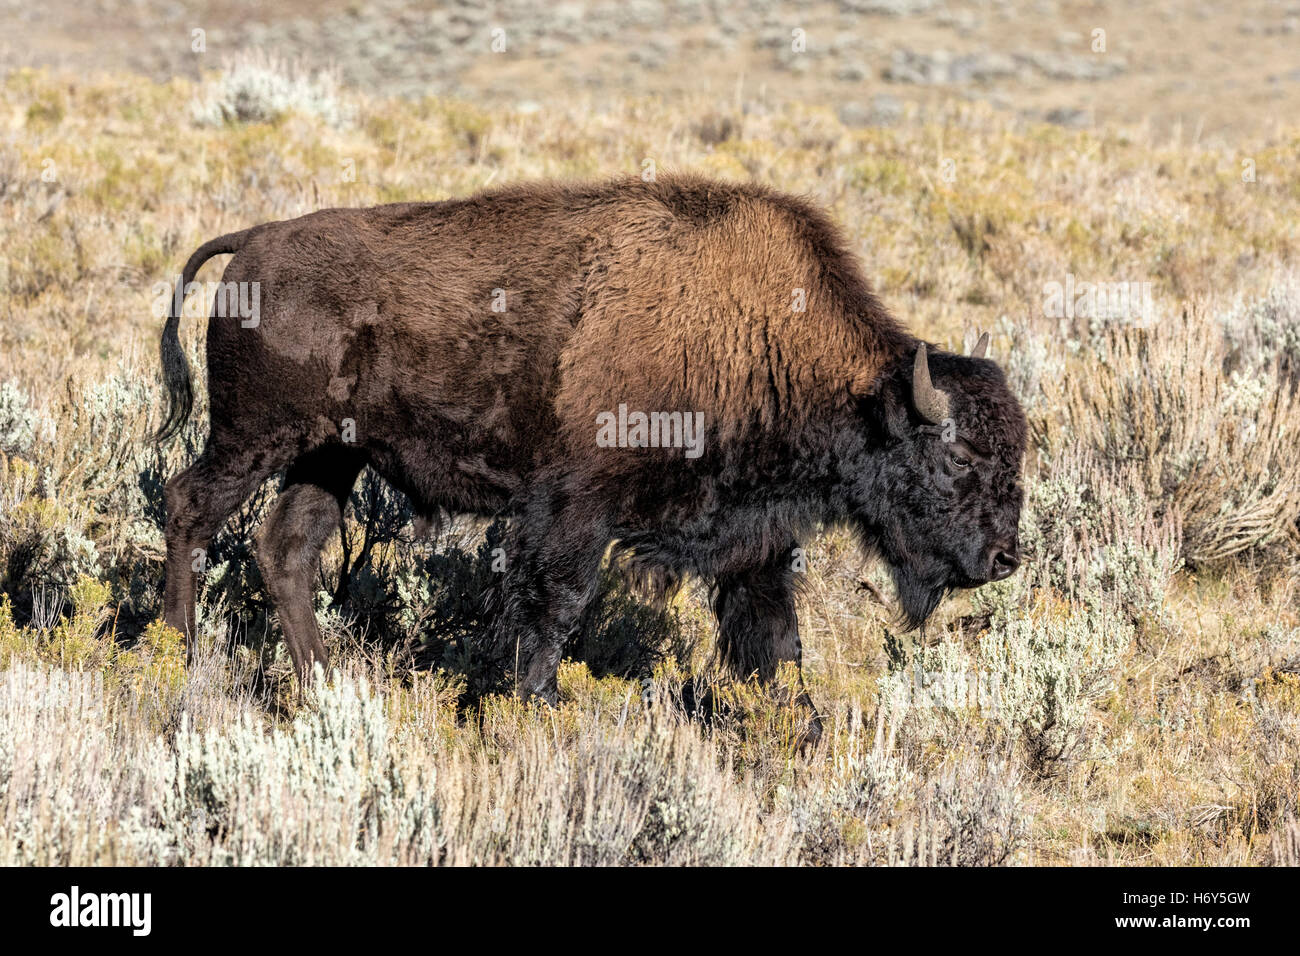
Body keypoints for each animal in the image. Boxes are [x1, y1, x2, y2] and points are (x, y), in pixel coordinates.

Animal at [156, 174, 1026, 741]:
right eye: (957, 458)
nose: (1004, 557)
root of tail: (253, 243)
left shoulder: (754, 537)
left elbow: (773, 632)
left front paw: (800, 726)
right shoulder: (573, 509)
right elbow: (556, 605)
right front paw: (534, 705)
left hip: (330, 456)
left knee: (287, 547)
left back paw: (324, 683)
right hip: (255, 437)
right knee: (189, 504)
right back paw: (176, 655)